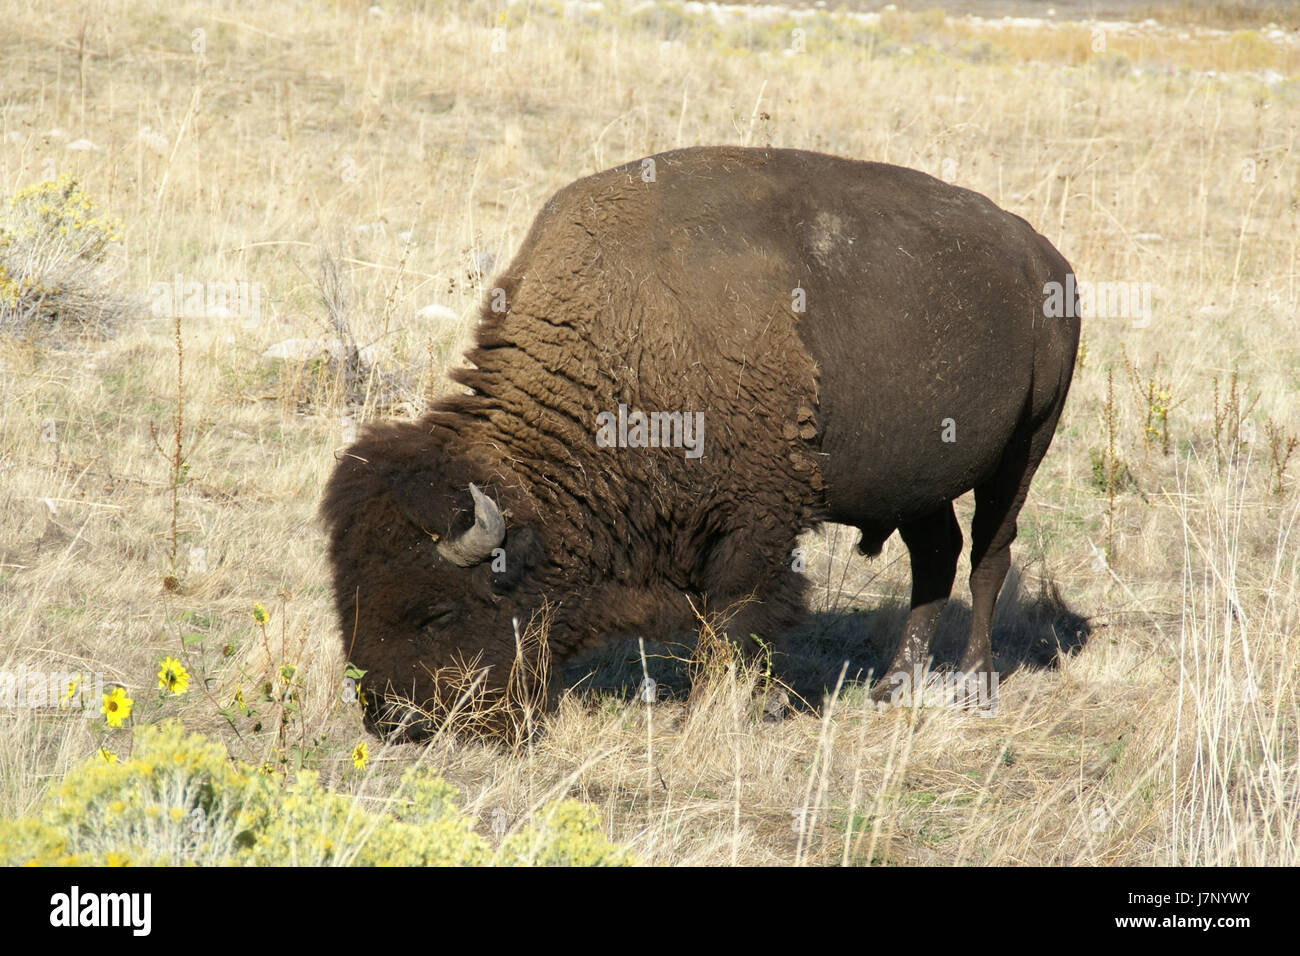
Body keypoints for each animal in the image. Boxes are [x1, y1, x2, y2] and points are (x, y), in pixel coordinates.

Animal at [321, 146, 1080, 739]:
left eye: (437, 611)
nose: (391, 717)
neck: (627, 337)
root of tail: (1046, 258)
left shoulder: (756, 521)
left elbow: (734, 612)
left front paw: (712, 709)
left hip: (1024, 449)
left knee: (988, 556)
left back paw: (974, 684)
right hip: (917, 480)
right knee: (936, 556)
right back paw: (892, 686)